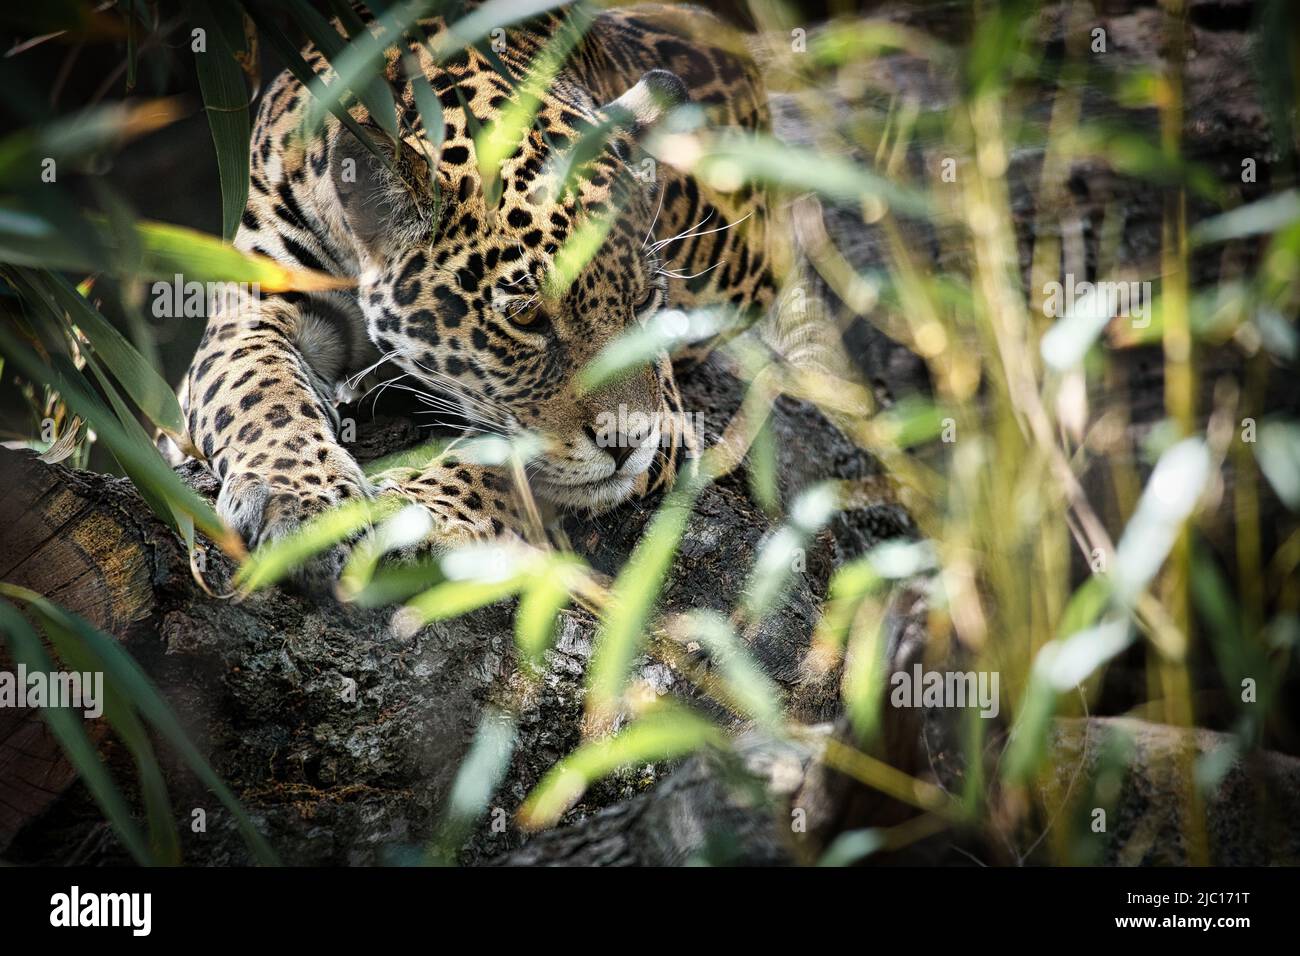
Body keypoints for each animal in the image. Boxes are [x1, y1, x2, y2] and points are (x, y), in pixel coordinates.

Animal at [178, 2, 778, 587]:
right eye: (527, 316)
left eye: (644, 301)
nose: (626, 445)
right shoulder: (256, 304)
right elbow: (258, 389)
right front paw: (301, 499)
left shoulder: (670, 412)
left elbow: (504, 462)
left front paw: (413, 515)